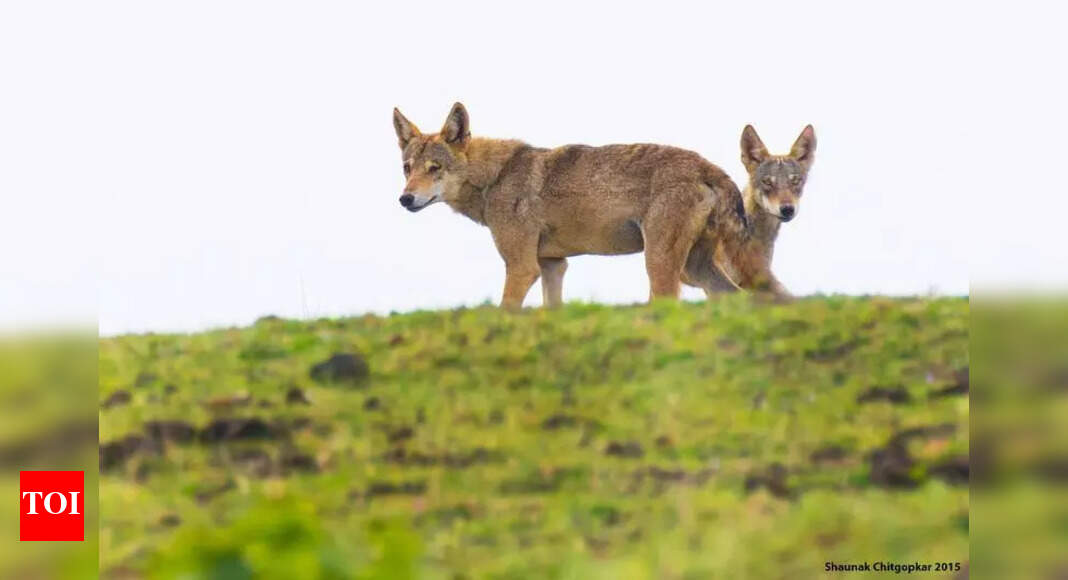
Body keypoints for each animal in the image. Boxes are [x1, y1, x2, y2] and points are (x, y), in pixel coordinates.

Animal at [392, 102, 749, 310]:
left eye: (434, 168)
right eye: (407, 169)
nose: (405, 199)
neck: (496, 177)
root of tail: (709, 168)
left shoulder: (522, 267)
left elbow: (506, 310)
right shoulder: (553, 265)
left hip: (661, 265)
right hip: (694, 269)